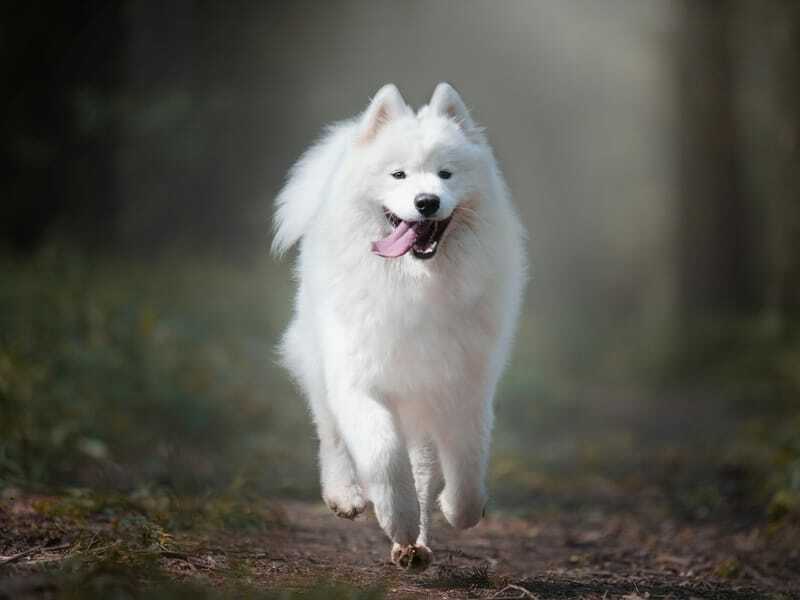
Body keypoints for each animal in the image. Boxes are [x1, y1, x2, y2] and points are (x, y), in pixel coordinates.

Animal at [272, 82, 528, 568]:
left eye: (446, 174)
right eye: (399, 176)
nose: (426, 202)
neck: (416, 285)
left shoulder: (462, 386)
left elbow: (466, 467)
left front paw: (454, 510)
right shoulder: (360, 382)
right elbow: (383, 456)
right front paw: (397, 517)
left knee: (425, 471)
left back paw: (417, 547)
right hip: (319, 363)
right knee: (331, 433)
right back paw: (347, 496)